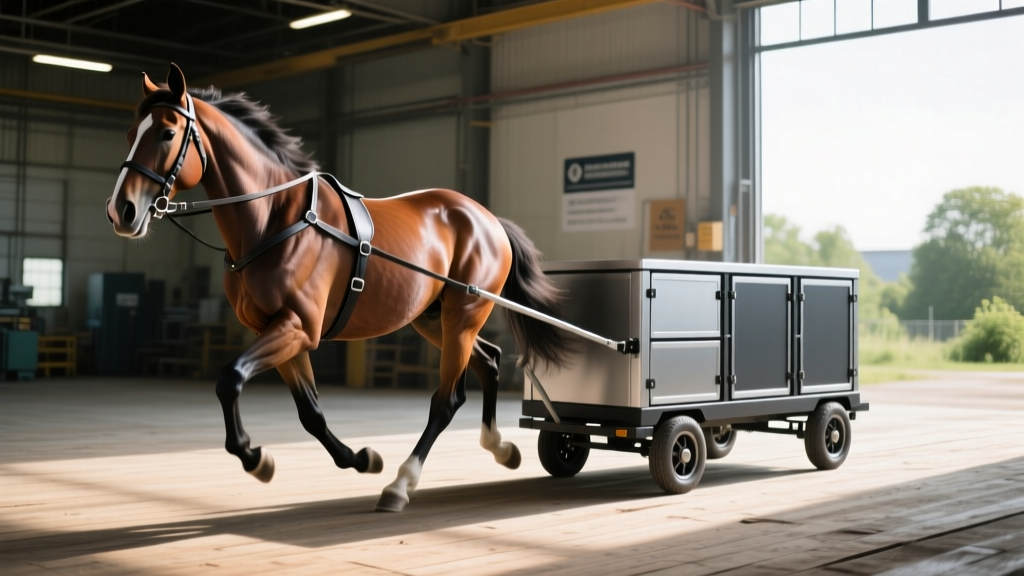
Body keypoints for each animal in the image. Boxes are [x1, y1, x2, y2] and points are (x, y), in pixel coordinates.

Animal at [106, 63, 571, 512]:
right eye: (130, 134)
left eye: (167, 133)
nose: (121, 211)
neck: (274, 219)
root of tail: (487, 218)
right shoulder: (277, 330)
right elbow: (310, 411)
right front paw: (360, 458)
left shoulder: (297, 327)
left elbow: (230, 377)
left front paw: (253, 456)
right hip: (433, 319)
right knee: (488, 361)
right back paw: (500, 448)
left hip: (461, 318)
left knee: (446, 400)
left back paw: (401, 485)